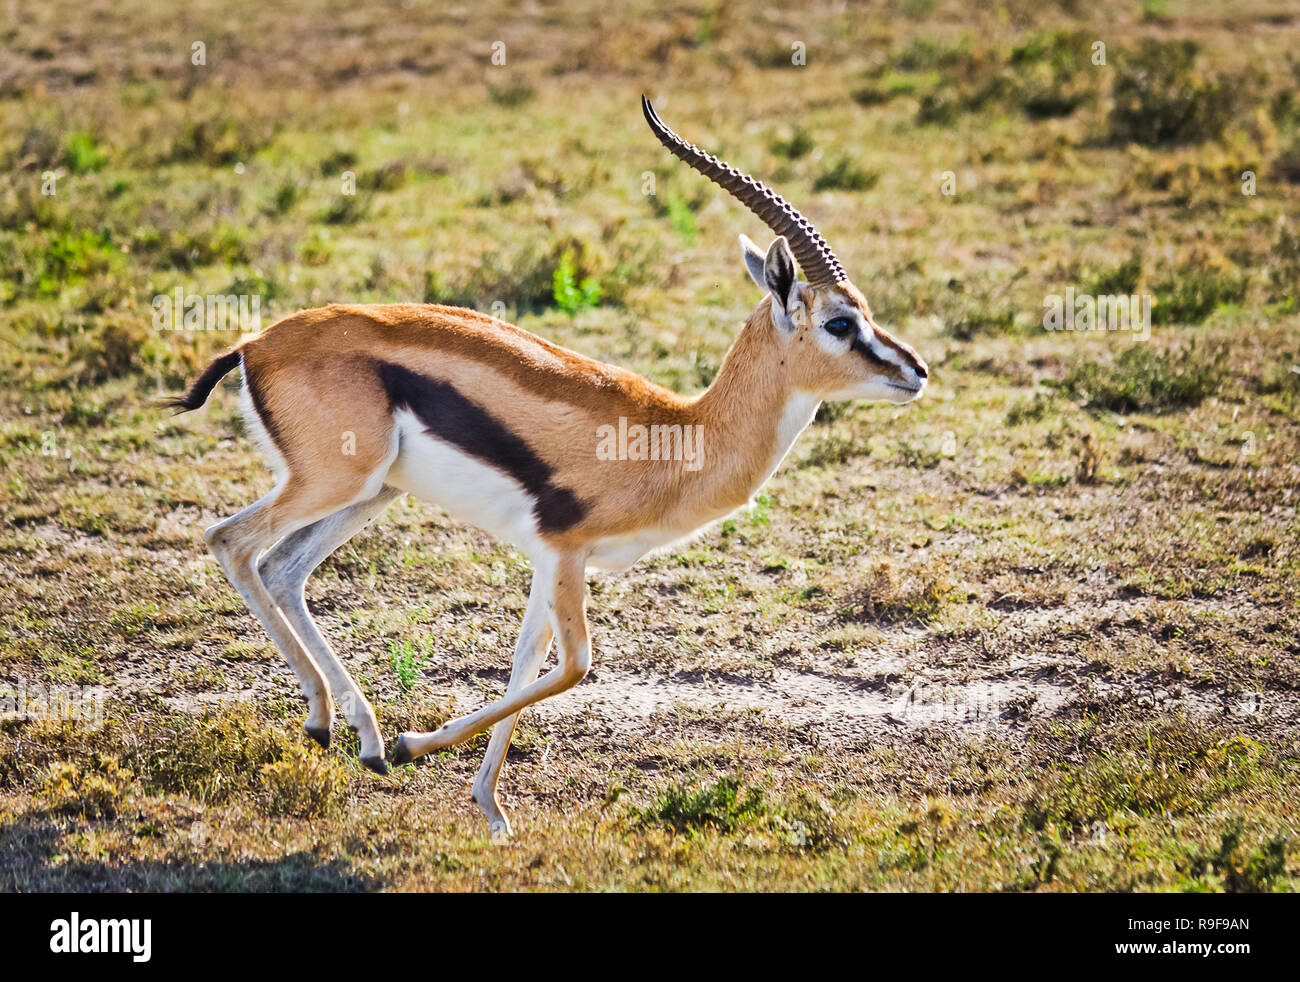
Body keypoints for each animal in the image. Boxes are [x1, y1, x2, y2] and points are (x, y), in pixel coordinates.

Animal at [170, 97, 928, 837]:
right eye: (839, 323)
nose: (917, 371)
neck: (680, 436)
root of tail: (254, 344)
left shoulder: (546, 558)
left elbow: (523, 663)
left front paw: (491, 811)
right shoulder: (567, 551)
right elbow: (575, 665)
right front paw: (417, 747)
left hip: (370, 493)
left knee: (283, 568)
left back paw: (353, 733)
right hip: (334, 483)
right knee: (230, 541)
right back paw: (340, 725)